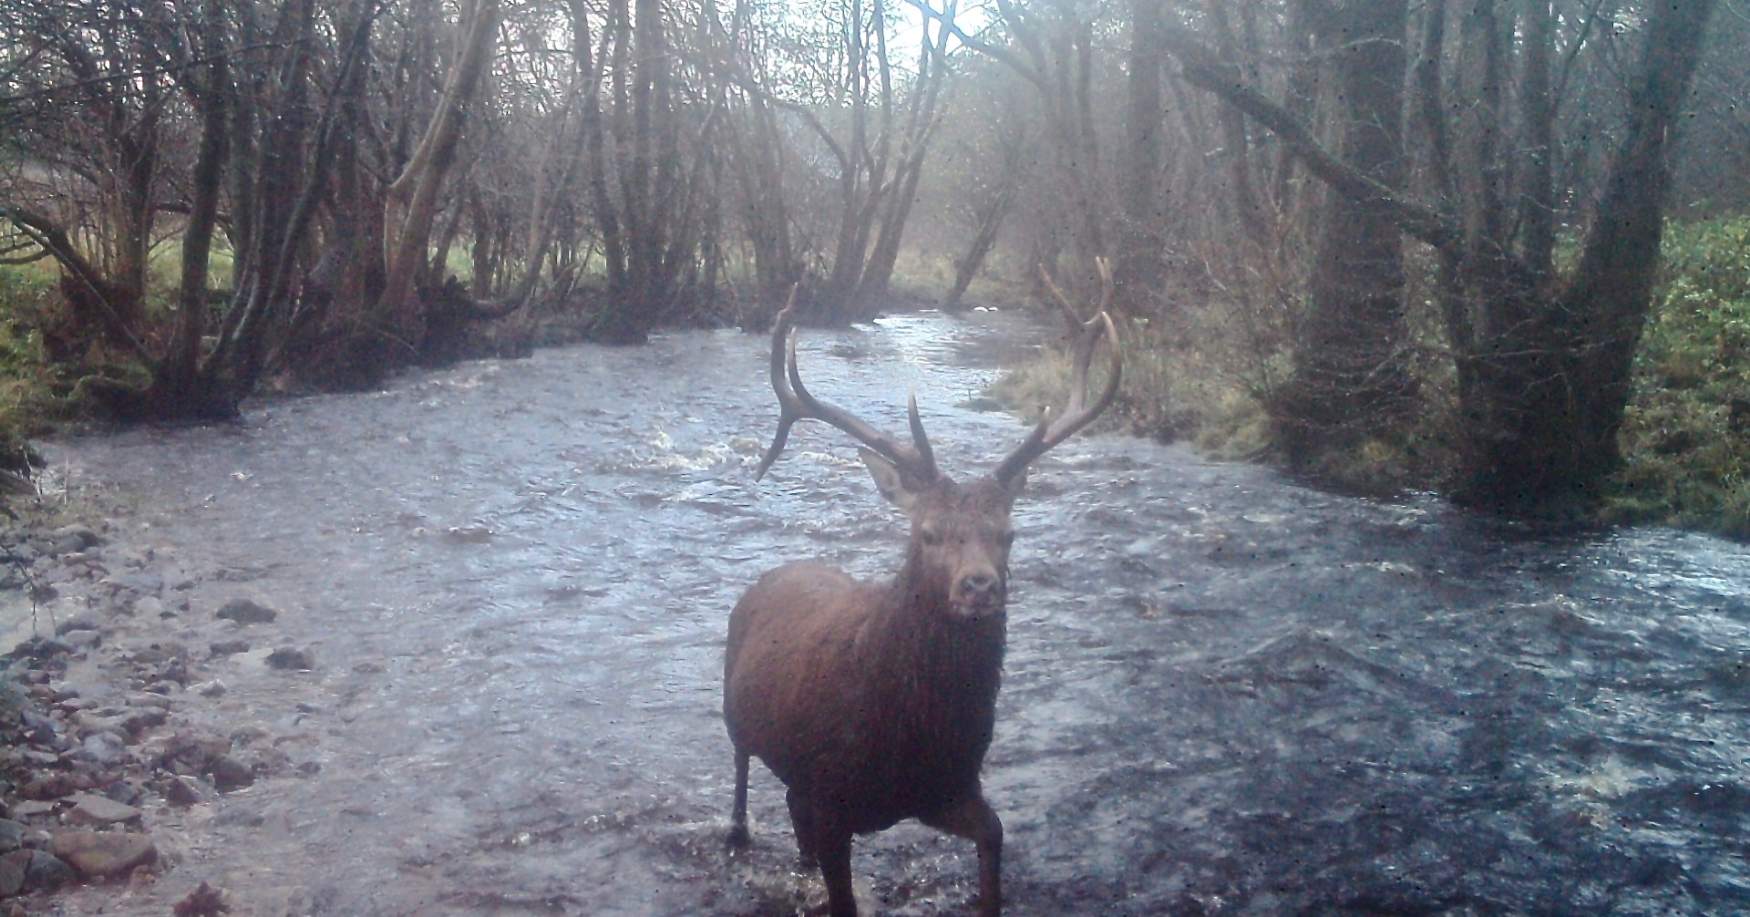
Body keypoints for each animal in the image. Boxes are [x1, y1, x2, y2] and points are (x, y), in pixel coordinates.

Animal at [722, 265, 1122, 917]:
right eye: (929, 532)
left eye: (1008, 533)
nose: (979, 585)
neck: (906, 738)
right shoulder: (832, 796)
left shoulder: (946, 787)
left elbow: (994, 837)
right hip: (735, 712)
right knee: (739, 764)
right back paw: (735, 830)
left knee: (788, 807)